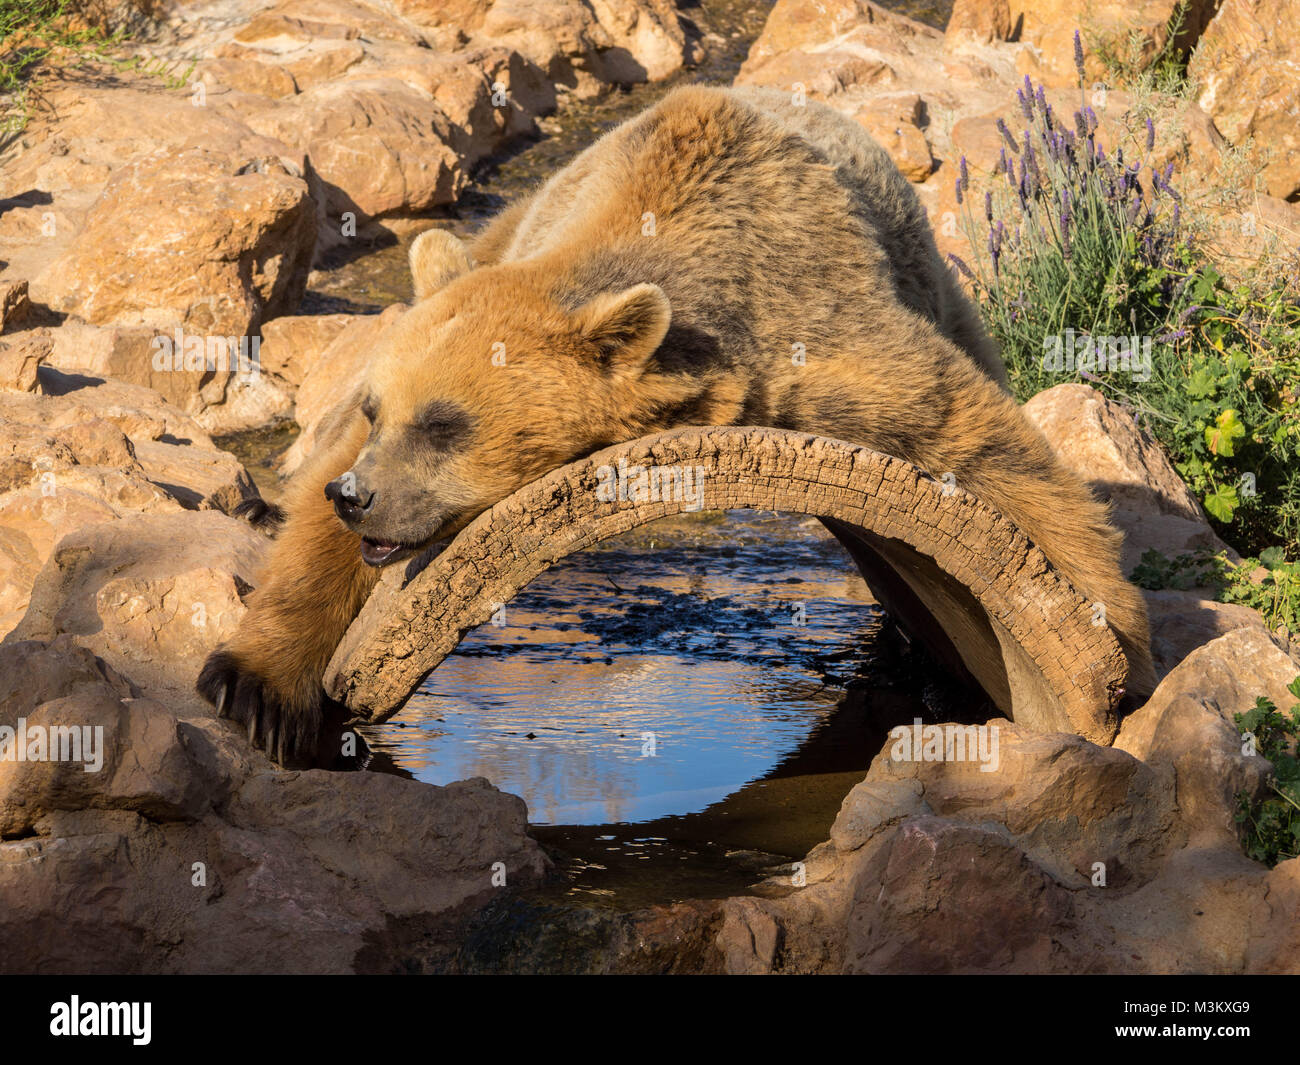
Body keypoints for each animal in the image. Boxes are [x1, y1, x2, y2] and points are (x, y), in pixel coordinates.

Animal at [198, 84, 1156, 764]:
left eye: (445, 423)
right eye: (380, 411)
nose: (358, 496)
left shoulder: (824, 336)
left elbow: (980, 439)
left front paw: (1110, 656)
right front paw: (253, 688)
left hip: (925, 266)